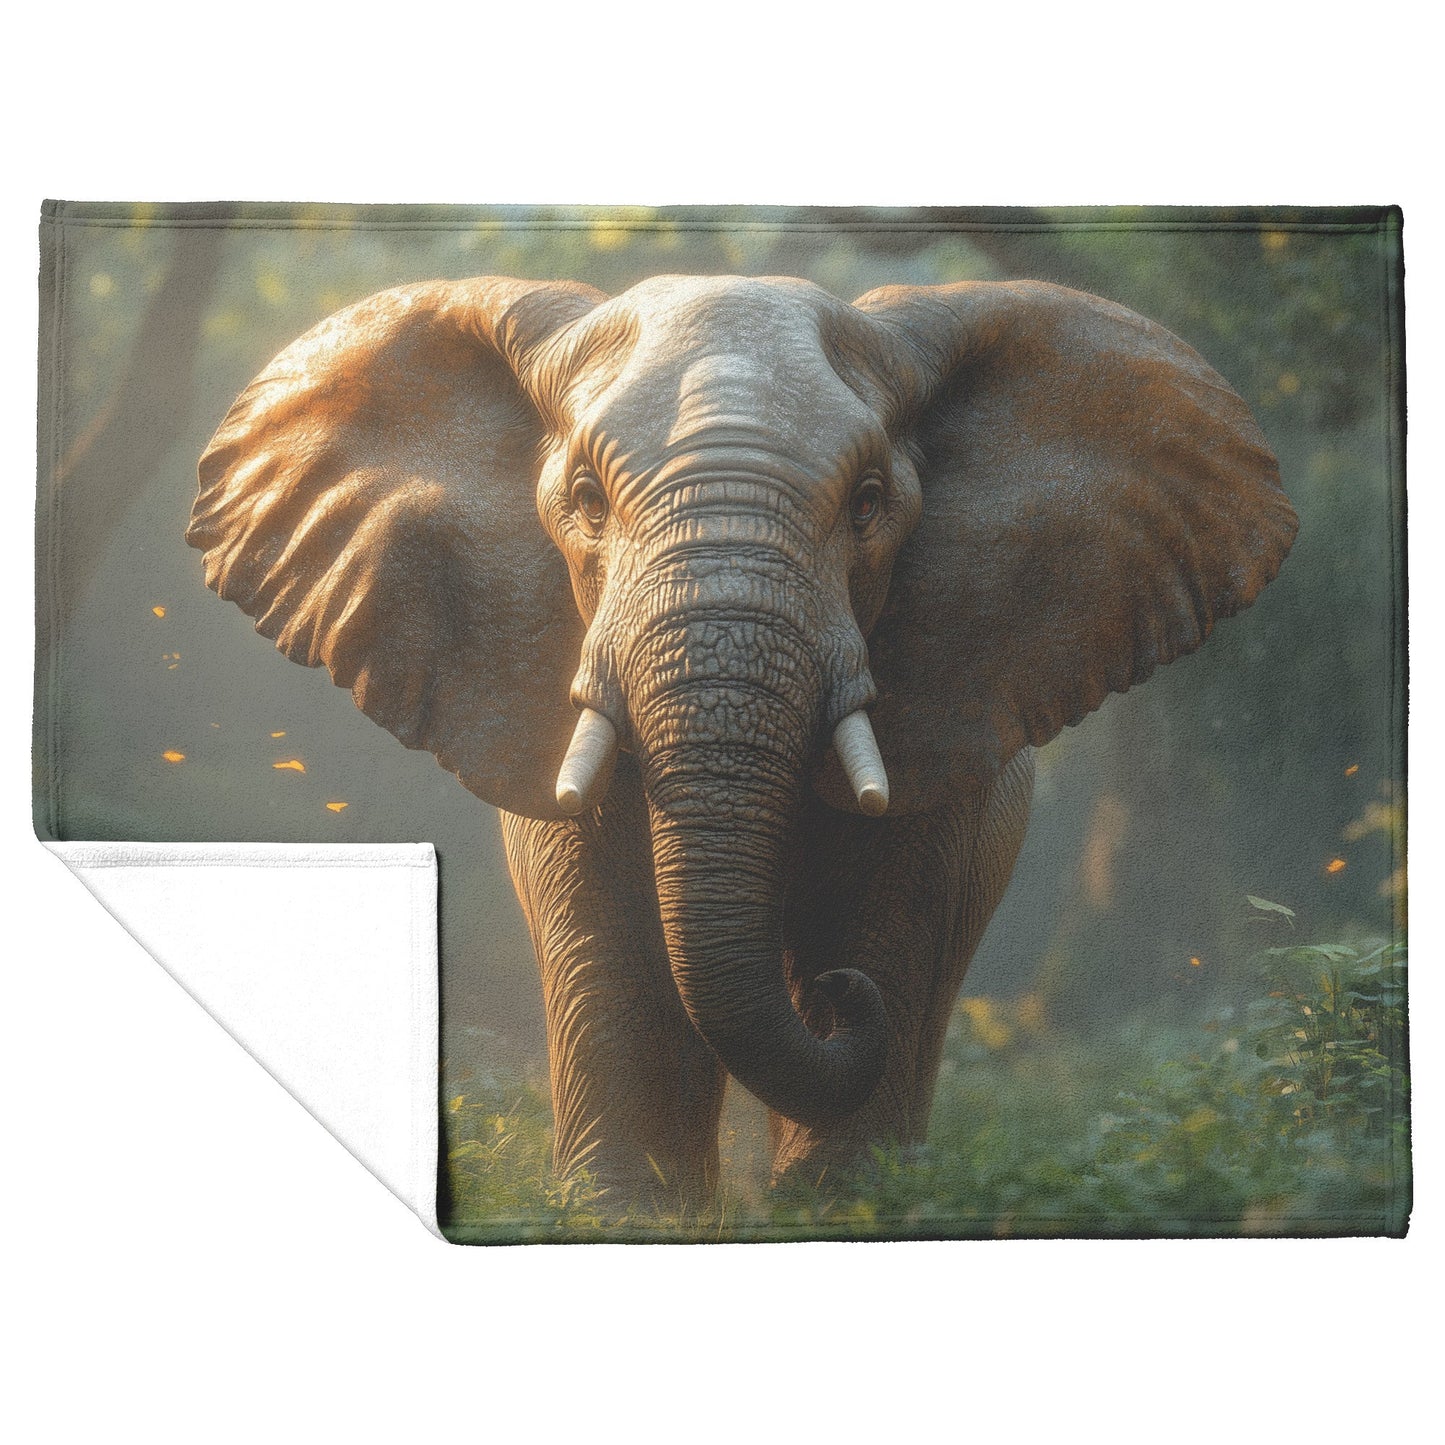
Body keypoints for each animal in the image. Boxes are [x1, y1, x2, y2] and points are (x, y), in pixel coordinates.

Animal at [187, 272, 1296, 1205]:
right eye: (585, 500)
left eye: (867, 505)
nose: (838, 1003)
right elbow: (616, 944)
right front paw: (624, 1216)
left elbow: (888, 917)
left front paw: (842, 1207)